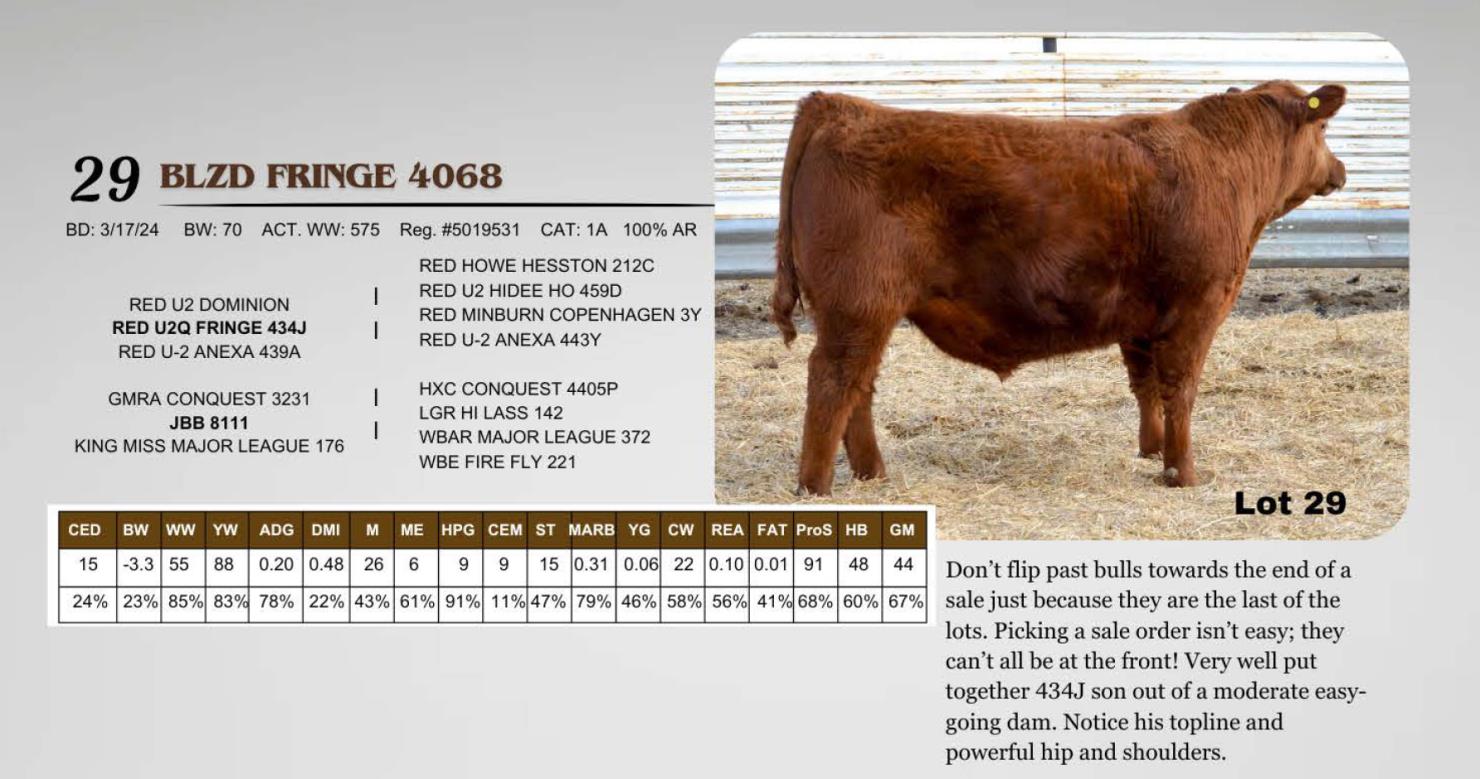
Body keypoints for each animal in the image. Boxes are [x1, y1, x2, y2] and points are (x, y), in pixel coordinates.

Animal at [771, 81, 1348, 495]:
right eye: (1323, 129)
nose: (1340, 169)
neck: (1225, 166)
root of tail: (842, 105)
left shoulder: (1141, 320)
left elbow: (1145, 387)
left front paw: (1150, 450)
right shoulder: (1197, 309)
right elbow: (1180, 390)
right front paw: (1182, 474)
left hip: (865, 313)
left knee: (859, 386)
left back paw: (872, 473)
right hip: (857, 306)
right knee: (833, 383)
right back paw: (815, 488)